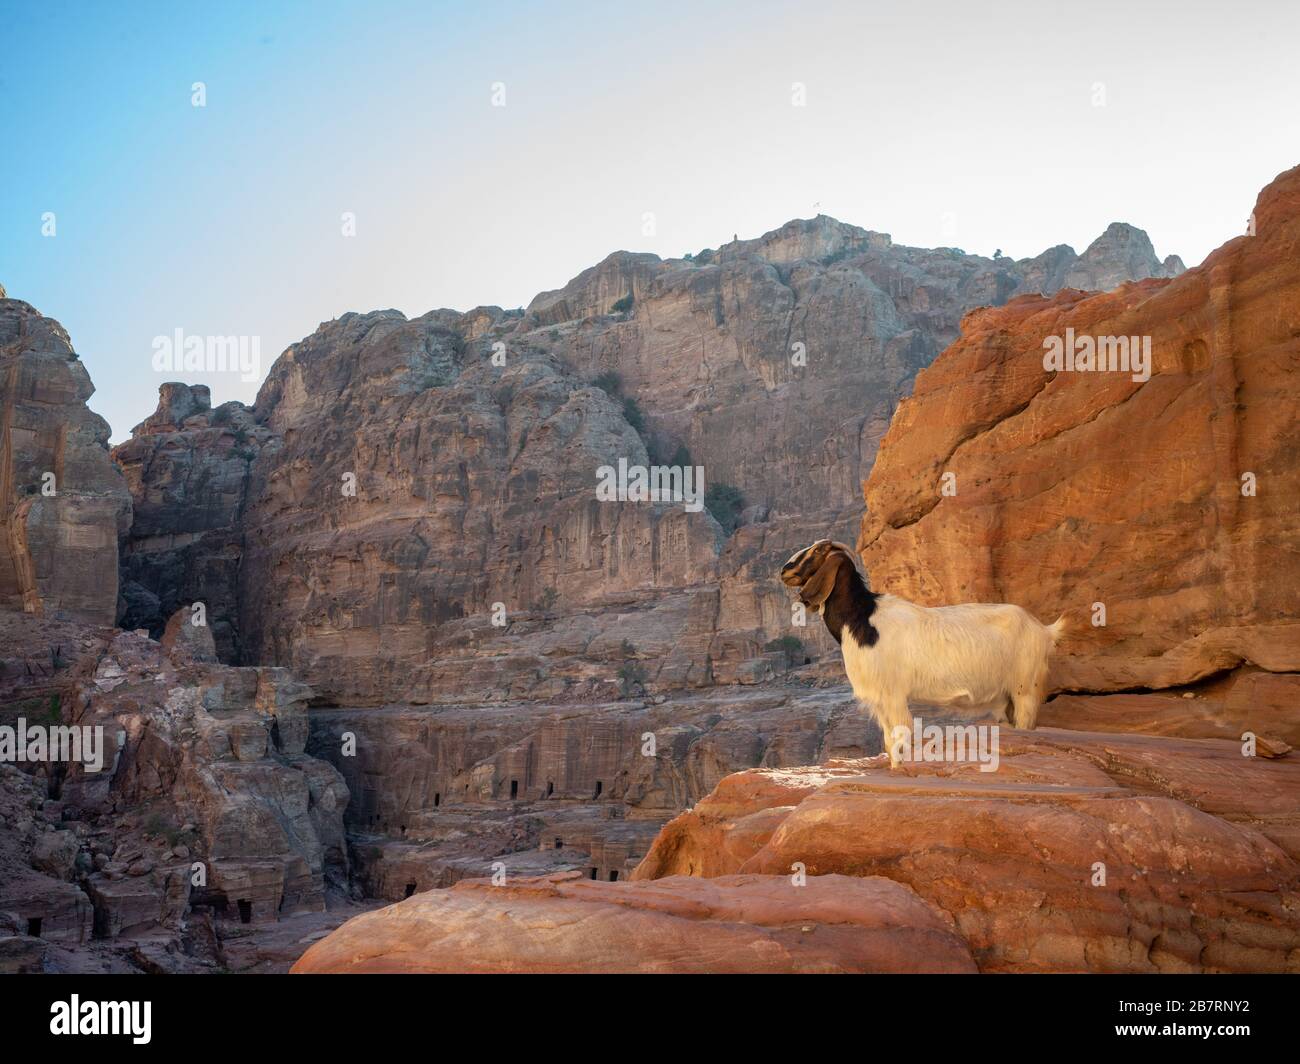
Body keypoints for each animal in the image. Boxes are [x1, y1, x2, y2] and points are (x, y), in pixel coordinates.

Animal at [780, 540, 1065, 766]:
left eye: (818, 550)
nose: (785, 570)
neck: (862, 619)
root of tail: (1044, 630)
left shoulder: (893, 694)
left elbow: (899, 739)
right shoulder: (880, 700)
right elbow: (888, 741)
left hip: (1025, 688)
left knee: (1026, 722)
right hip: (1007, 696)